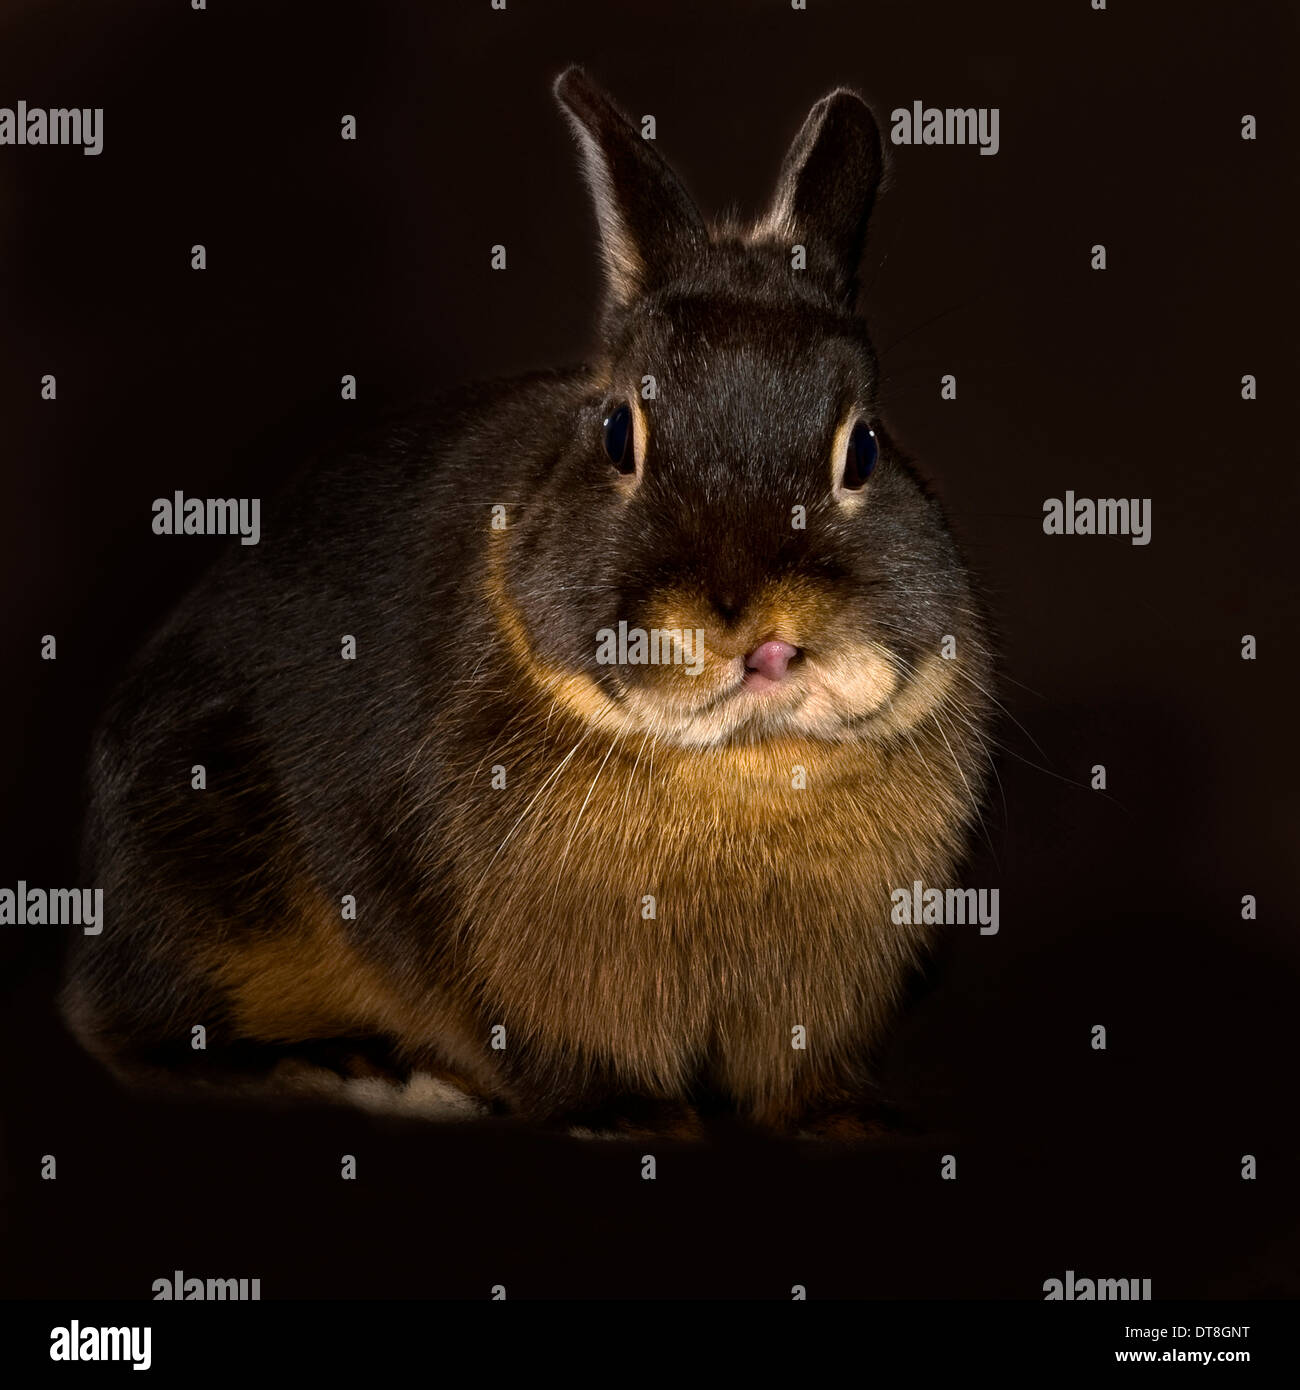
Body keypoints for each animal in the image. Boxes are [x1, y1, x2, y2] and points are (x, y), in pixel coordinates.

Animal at [60, 67, 995, 1139]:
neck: (742, 763)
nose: (758, 636)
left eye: (864, 451)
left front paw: (846, 1122)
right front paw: (629, 1119)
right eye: (619, 434)